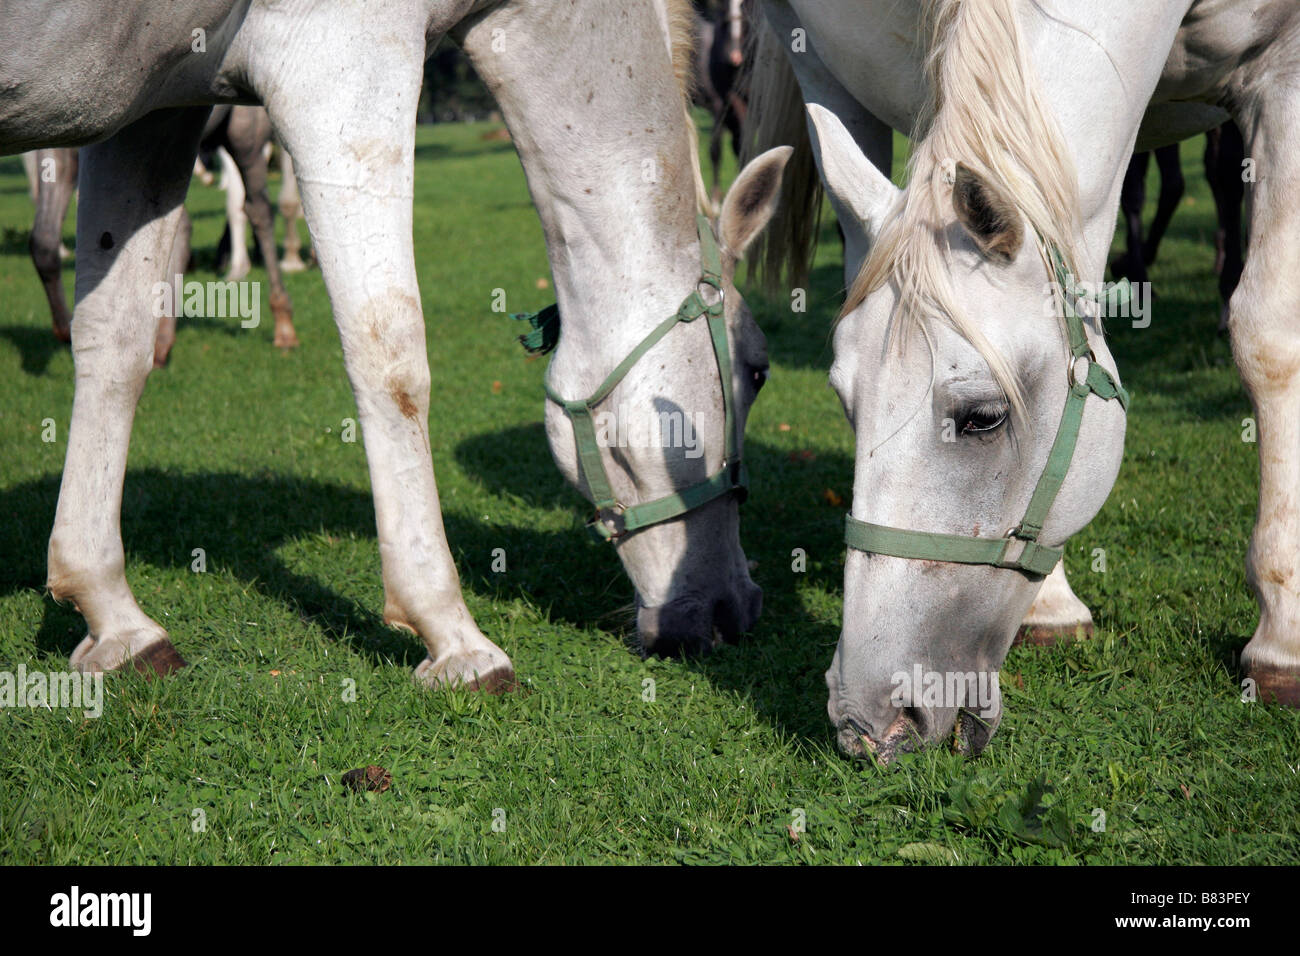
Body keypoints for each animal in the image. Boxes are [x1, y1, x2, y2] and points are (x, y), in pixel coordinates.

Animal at [1, 0, 788, 688]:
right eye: (758, 369)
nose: (735, 609)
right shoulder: (345, 68)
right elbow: (391, 355)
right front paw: (454, 635)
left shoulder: (155, 111)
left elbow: (116, 340)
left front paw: (112, 615)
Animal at [744, 0, 1300, 761]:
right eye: (847, 409)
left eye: (983, 417)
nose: (865, 717)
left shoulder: (1285, 68)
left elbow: (1271, 335)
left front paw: (1283, 636)